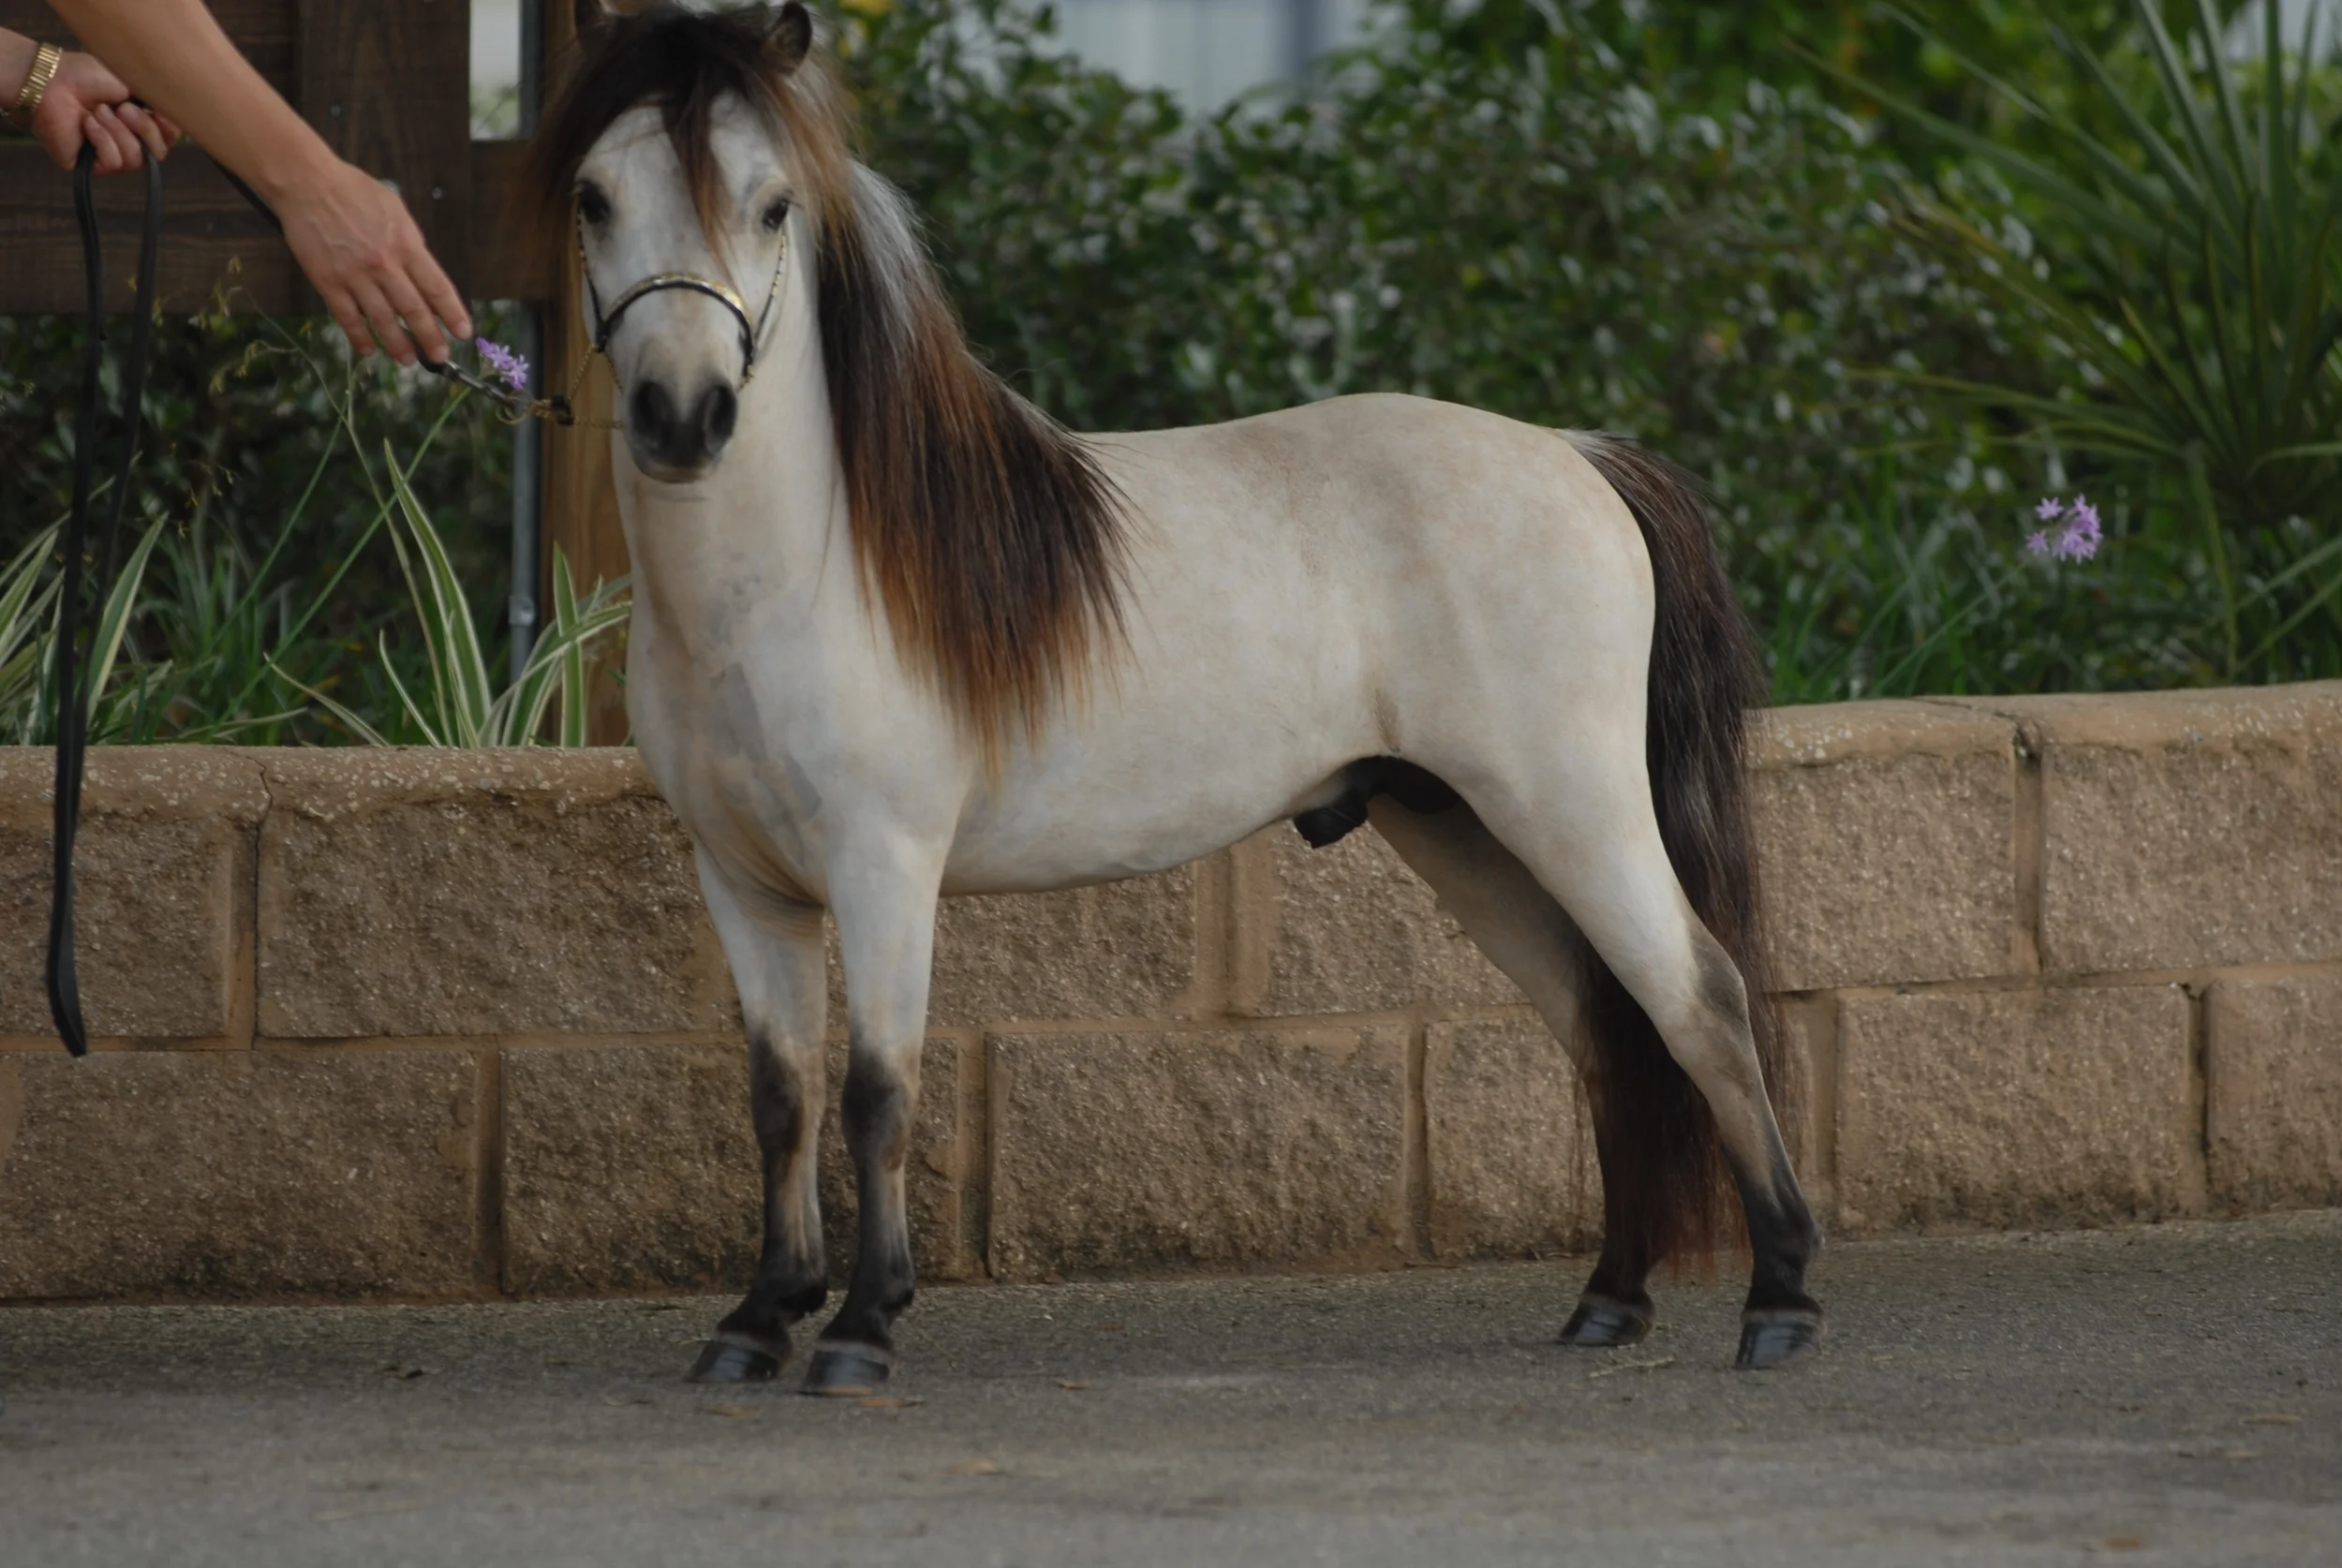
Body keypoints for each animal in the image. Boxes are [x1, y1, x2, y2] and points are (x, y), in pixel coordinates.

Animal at [528, 0, 1823, 1395]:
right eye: (595, 196)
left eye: (771, 205)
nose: (683, 414)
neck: (805, 573)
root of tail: (1580, 458)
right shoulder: (746, 882)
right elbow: (782, 1095)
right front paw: (759, 1318)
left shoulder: (883, 869)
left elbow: (878, 1092)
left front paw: (862, 1327)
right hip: (1465, 831)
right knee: (1602, 1023)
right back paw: (1610, 1298)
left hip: (1572, 810)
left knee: (1699, 1002)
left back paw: (1781, 1300)